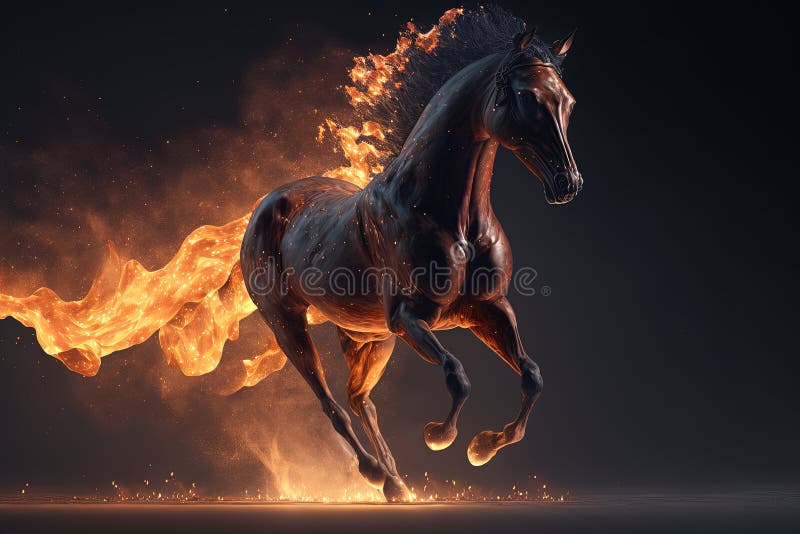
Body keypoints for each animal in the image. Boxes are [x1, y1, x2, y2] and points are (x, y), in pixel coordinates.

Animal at [241, 11, 581, 501]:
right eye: (526, 96)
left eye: (568, 101)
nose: (567, 183)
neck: (451, 218)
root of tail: (266, 205)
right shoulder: (409, 317)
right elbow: (458, 375)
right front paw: (440, 436)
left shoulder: (488, 309)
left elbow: (532, 375)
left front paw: (483, 446)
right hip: (288, 324)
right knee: (331, 403)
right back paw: (375, 473)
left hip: (370, 337)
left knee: (360, 400)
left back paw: (396, 483)